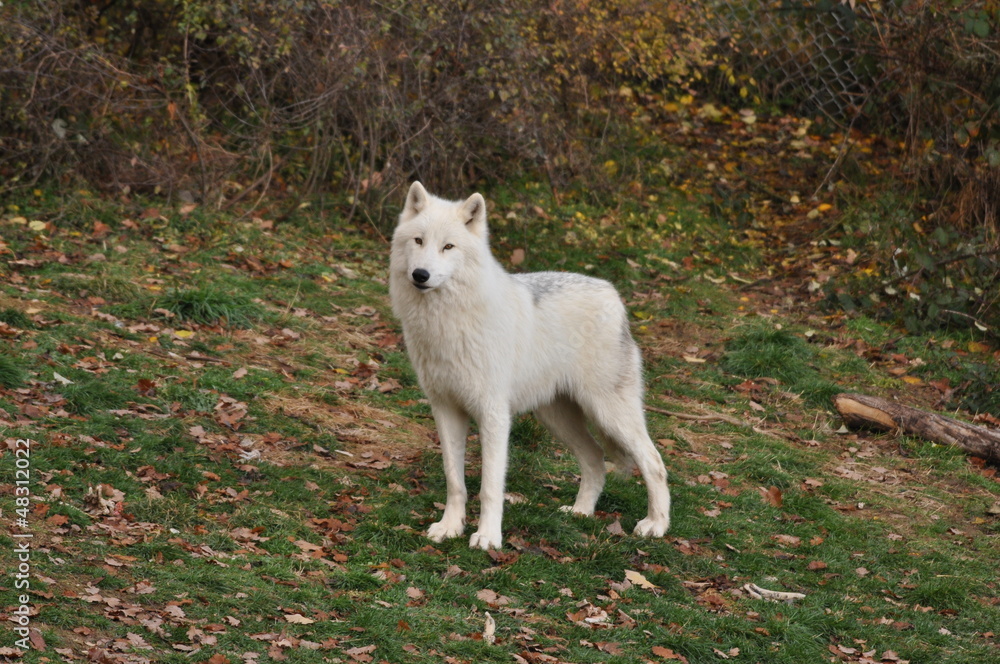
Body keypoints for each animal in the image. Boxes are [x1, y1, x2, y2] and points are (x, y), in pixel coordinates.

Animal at [389, 181, 672, 550]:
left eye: (448, 246)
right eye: (419, 240)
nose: (420, 275)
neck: (448, 321)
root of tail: (613, 294)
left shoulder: (494, 414)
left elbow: (490, 487)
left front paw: (487, 537)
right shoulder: (445, 409)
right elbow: (455, 480)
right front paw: (450, 527)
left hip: (608, 412)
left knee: (654, 462)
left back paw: (656, 525)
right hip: (557, 417)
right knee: (596, 459)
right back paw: (581, 512)